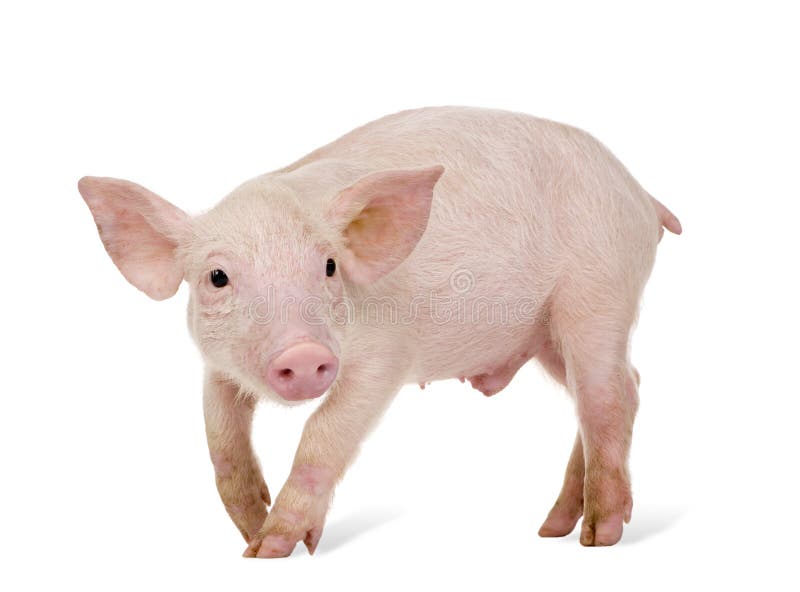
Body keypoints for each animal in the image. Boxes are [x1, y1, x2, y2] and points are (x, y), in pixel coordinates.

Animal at [78, 106, 681, 557]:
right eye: (217, 277)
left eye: (328, 266)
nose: (303, 352)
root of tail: (640, 194)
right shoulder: (216, 364)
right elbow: (221, 439)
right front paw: (251, 532)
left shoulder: (386, 357)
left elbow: (323, 432)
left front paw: (273, 549)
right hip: (548, 333)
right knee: (619, 387)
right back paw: (553, 528)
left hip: (600, 292)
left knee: (608, 395)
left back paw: (597, 537)